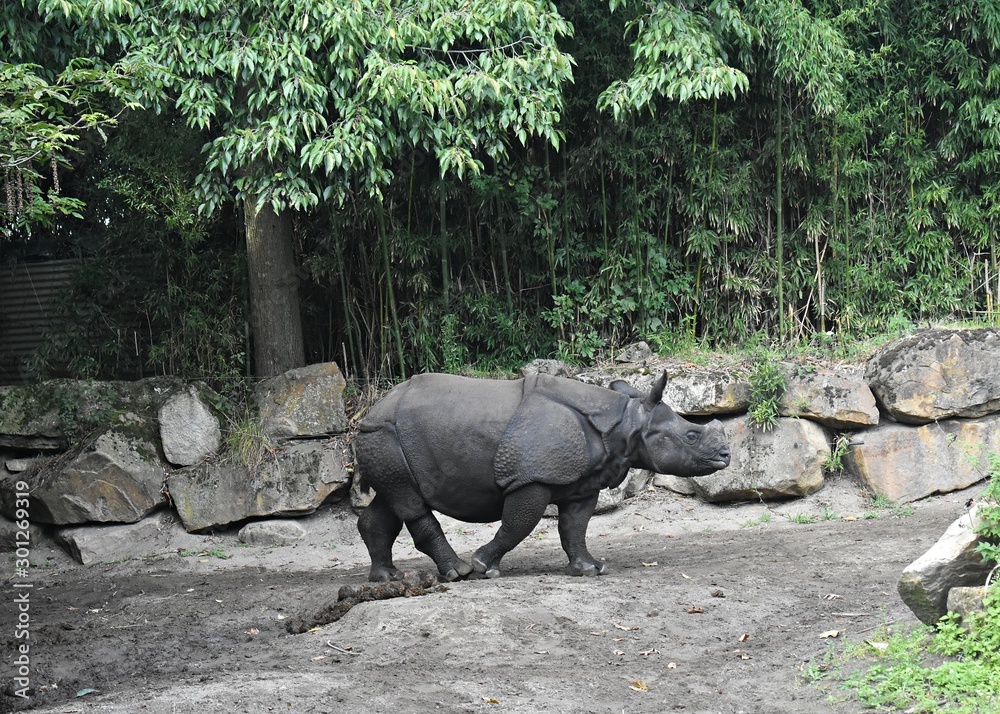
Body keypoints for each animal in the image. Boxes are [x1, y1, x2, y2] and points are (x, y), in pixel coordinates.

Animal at [354, 371, 730, 582]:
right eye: (692, 436)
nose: (726, 455)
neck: (626, 422)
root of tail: (369, 410)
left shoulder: (583, 481)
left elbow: (575, 527)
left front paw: (590, 570)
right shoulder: (532, 478)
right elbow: (518, 525)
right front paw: (483, 566)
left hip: (386, 440)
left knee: (393, 498)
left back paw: (386, 578)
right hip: (385, 433)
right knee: (409, 501)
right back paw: (457, 572)